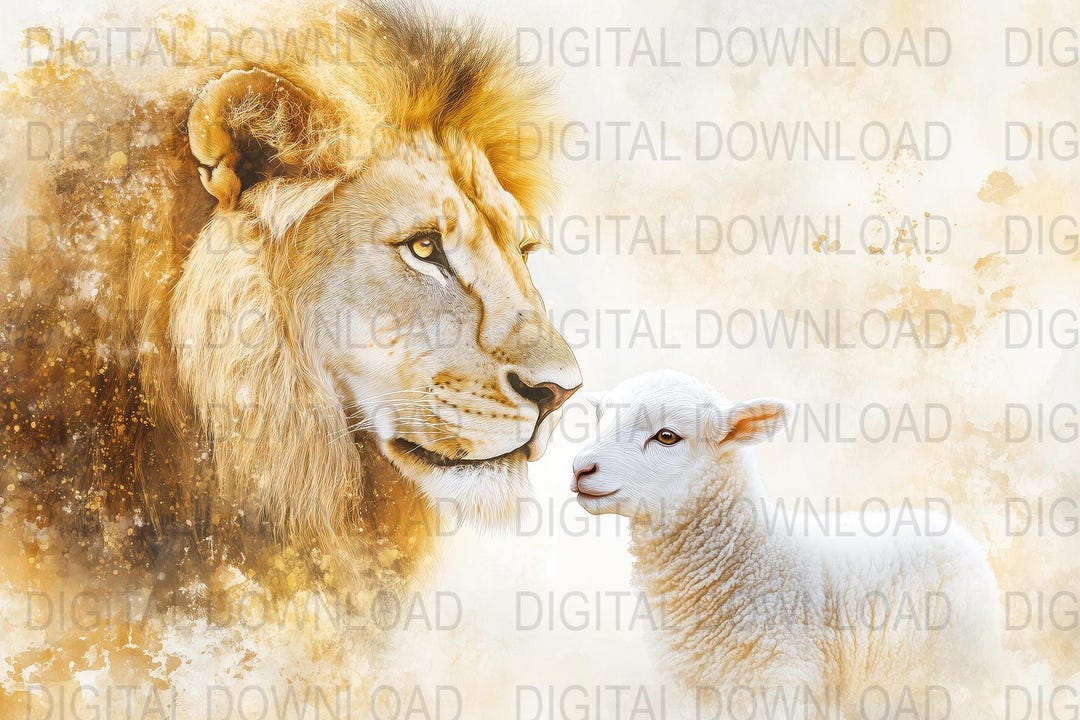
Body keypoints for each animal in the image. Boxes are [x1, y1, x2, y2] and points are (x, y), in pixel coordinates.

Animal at [571, 370, 1002, 719]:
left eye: (666, 436)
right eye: (601, 420)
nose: (579, 468)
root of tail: (956, 531)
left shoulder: (785, 679)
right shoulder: (686, 690)